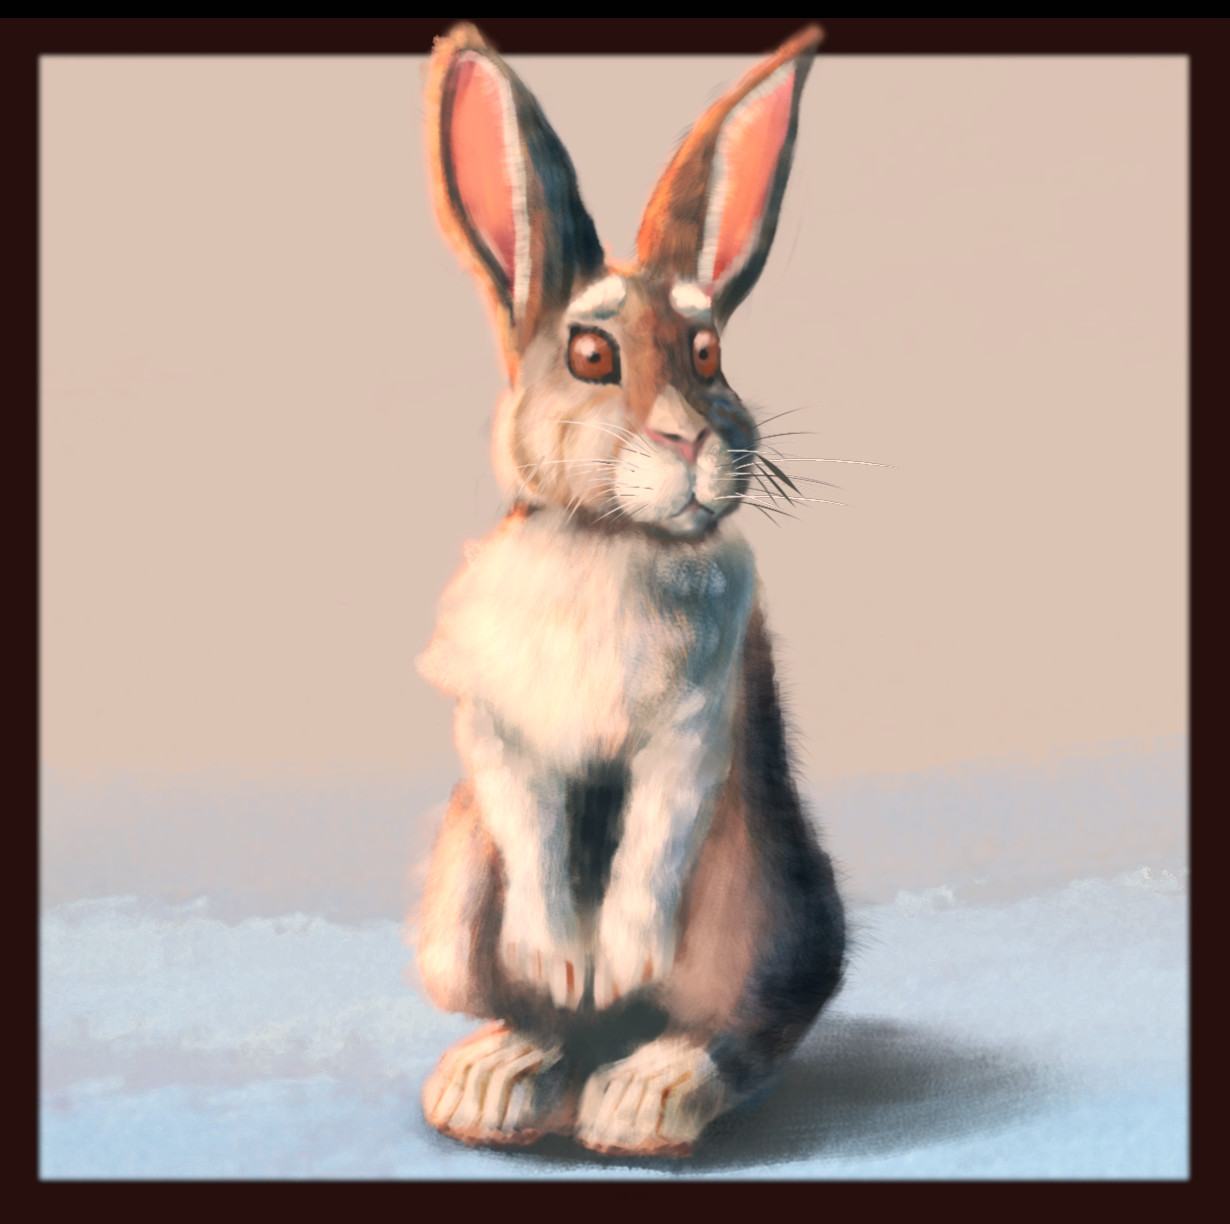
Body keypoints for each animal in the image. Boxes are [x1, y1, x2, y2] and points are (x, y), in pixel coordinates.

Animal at [413, 22, 846, 1159]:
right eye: (591, 353)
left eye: (708, 352)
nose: (691, 441)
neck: (606, 539)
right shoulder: (495, 729)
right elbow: (532, 823)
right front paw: (566, 961)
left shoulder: (694, 725)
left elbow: (654, 837)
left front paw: (621, 961)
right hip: (452, 900)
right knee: (542, 1020)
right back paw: (496, 1076)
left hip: (762, 903)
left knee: (739, 1030)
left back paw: (644, 1095)